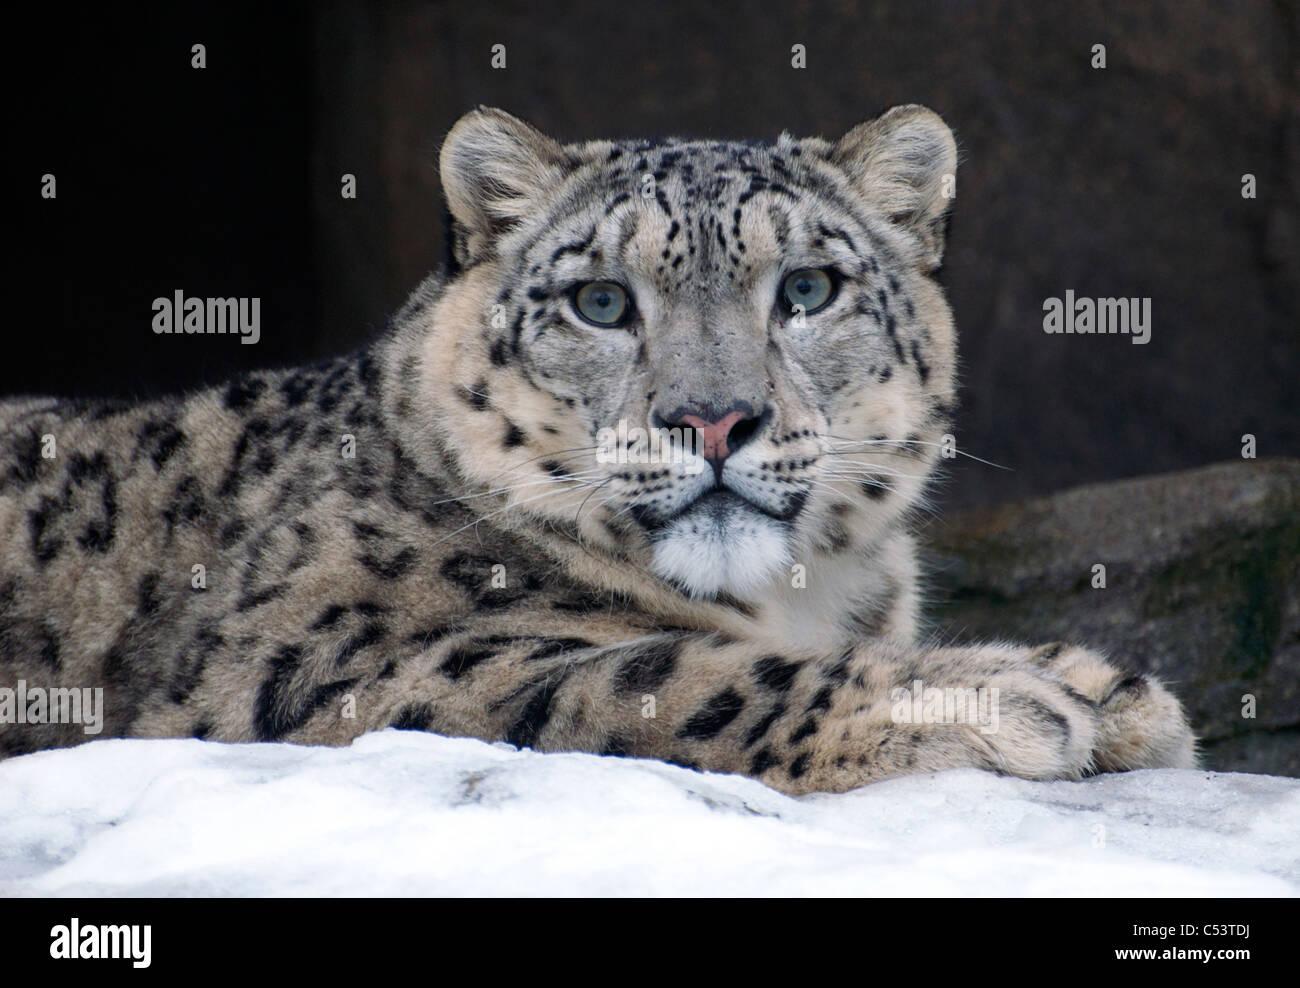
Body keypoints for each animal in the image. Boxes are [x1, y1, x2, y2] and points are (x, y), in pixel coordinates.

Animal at [0, 105, 1196, 793]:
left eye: (808, 288)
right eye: (603, 300)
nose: (713, 418)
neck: (799, 598)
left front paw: (1101, 688)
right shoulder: (302, 673)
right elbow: (664, 676)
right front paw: (1003, 694)